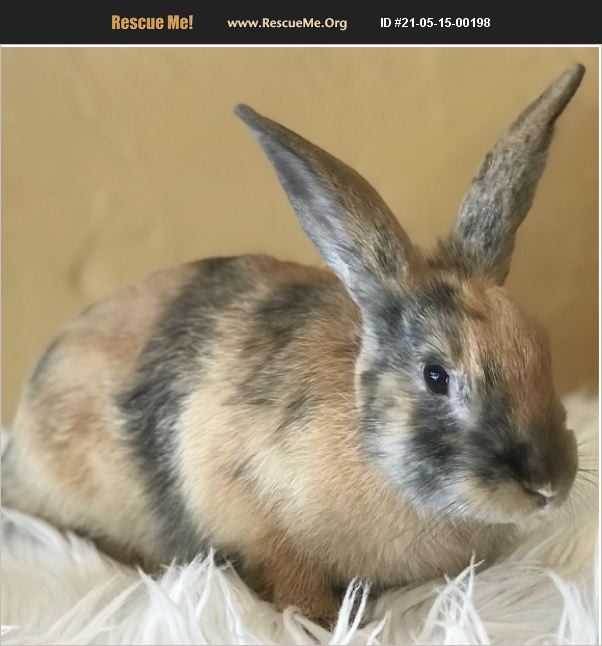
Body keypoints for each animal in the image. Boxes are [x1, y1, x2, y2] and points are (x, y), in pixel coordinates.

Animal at [1, 64, 584, 625]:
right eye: (436, 376)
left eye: (541, 347)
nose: (547, 484)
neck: (367, 442)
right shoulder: (254, 517)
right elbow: (291, 580)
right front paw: (327, 622)